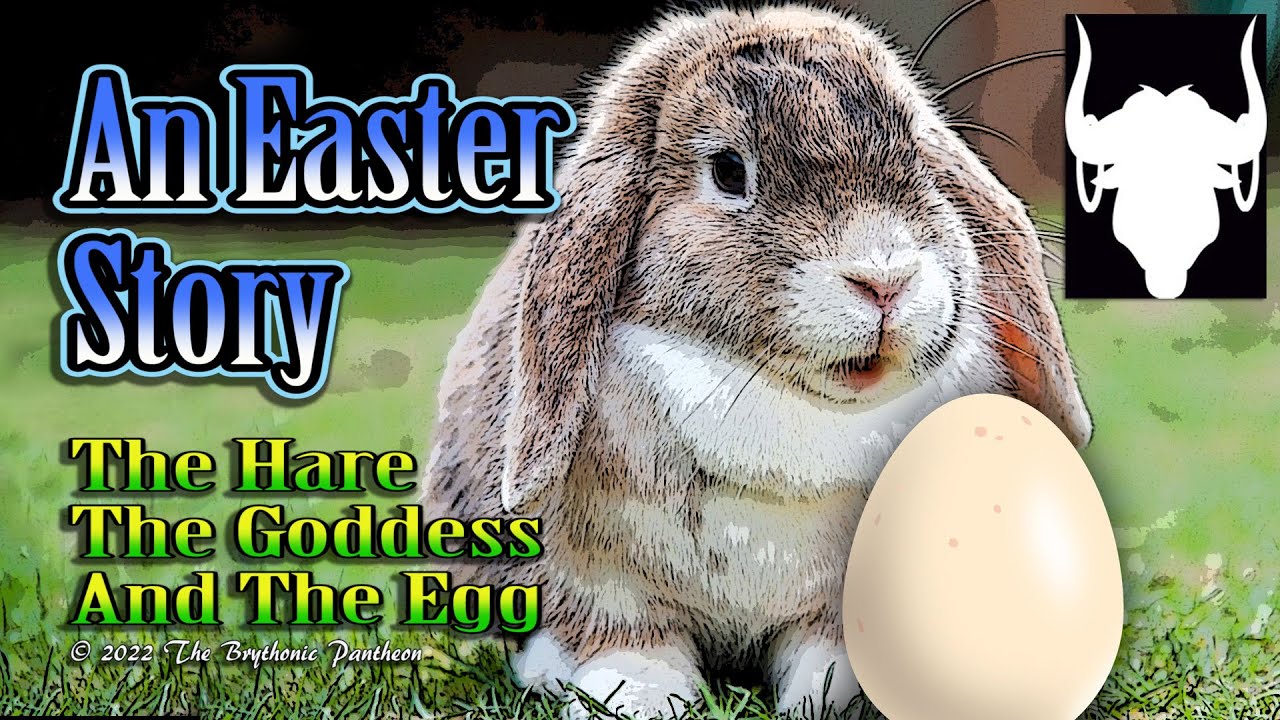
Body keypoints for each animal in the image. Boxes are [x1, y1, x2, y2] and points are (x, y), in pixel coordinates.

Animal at [421, 4, 1092, 718]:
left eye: (918, 152)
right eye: (728, 171)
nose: (884, 280)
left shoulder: (832, 607)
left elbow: (829, 656)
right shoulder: (594, 581)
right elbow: (621, 643)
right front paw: (639, 698)